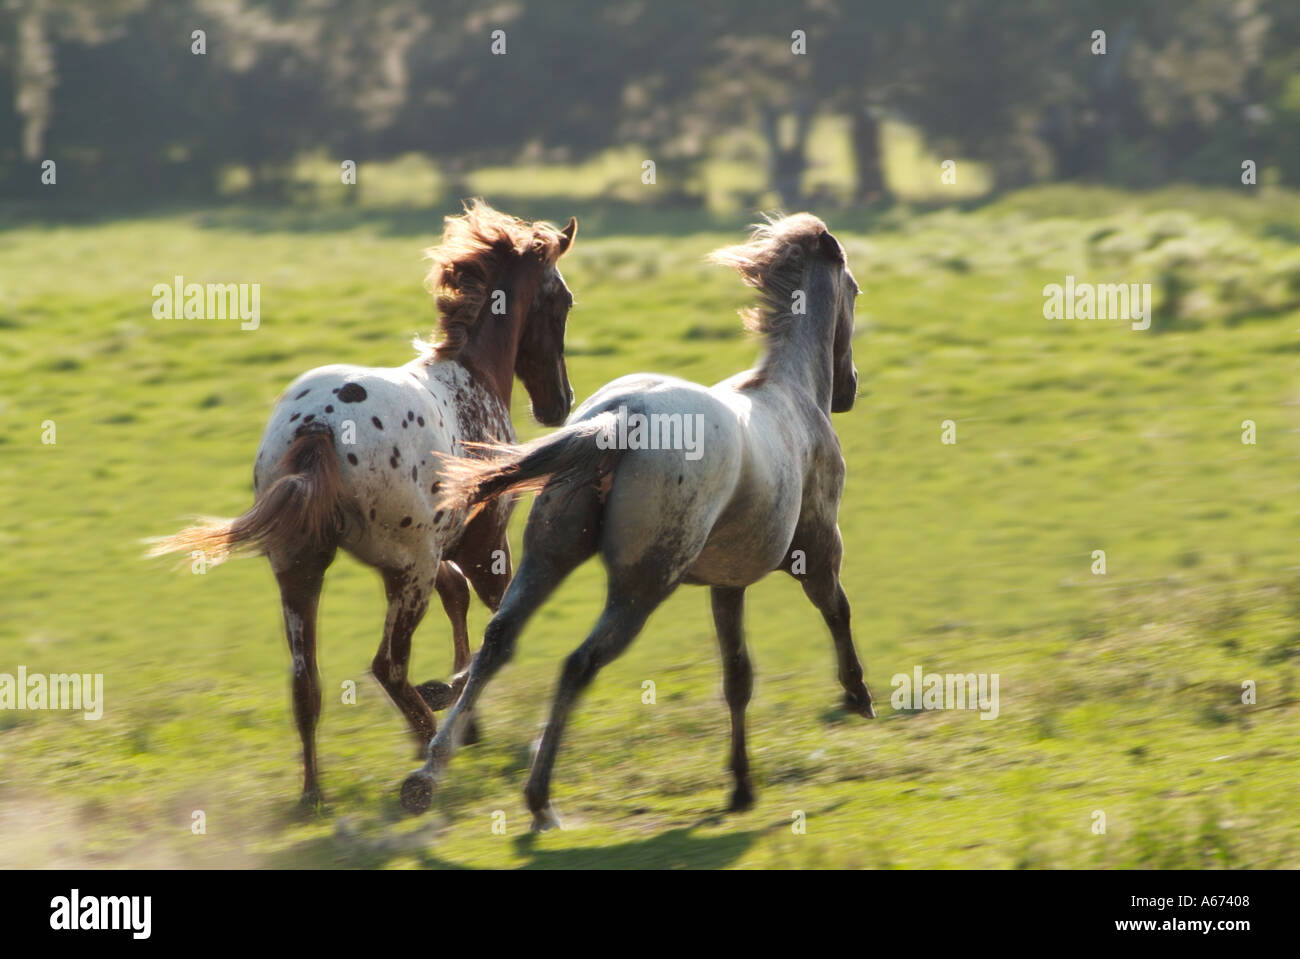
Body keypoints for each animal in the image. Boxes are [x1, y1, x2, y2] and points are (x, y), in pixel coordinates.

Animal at [148, 201, 578, 807]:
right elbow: (497, 626)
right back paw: (426, 753)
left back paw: (313, 797)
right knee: (387, 666)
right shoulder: (480, 545)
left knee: (306, 682)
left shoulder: (431, 552)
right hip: (404, 568)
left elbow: (460, 604)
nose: (559, 402)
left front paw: (466, 718)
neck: (469, 377)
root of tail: (318, 426)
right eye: (562, 300)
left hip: (300, 568)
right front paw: (455, 706)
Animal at [400, 212, 873, 829]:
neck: (791, 395)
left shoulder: (726, 585)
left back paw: (428, 772)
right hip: (641, 587)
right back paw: (539, 798)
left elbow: (738, 678)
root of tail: (620, 418)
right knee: (578, 663)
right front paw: (857, 695)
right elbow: (837, 611)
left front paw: (742, 787)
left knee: (498, 640)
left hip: (549, 556)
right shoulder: (817, 553)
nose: (851, 388)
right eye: (855, 290)